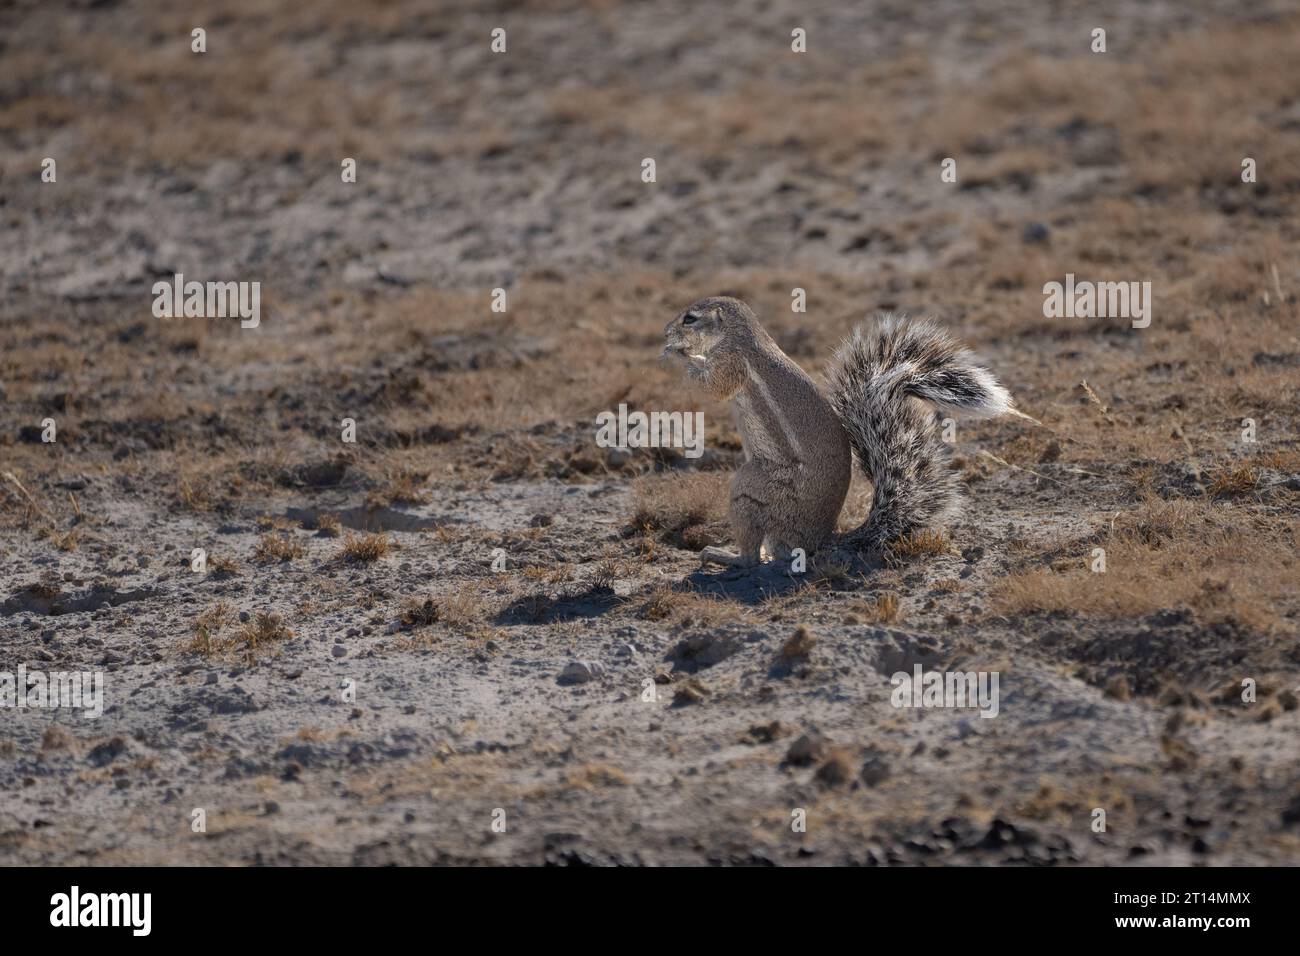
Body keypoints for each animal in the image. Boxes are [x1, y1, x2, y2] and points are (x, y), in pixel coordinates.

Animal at [661, 296, 1021, 567]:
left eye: (690, 318)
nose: (664, 333)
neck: (740, 335)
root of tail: (820, 540)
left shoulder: (730, 363)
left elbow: (712, 386)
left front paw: (681, 354)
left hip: (750, 488)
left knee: (751, 557)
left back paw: (724, 556)